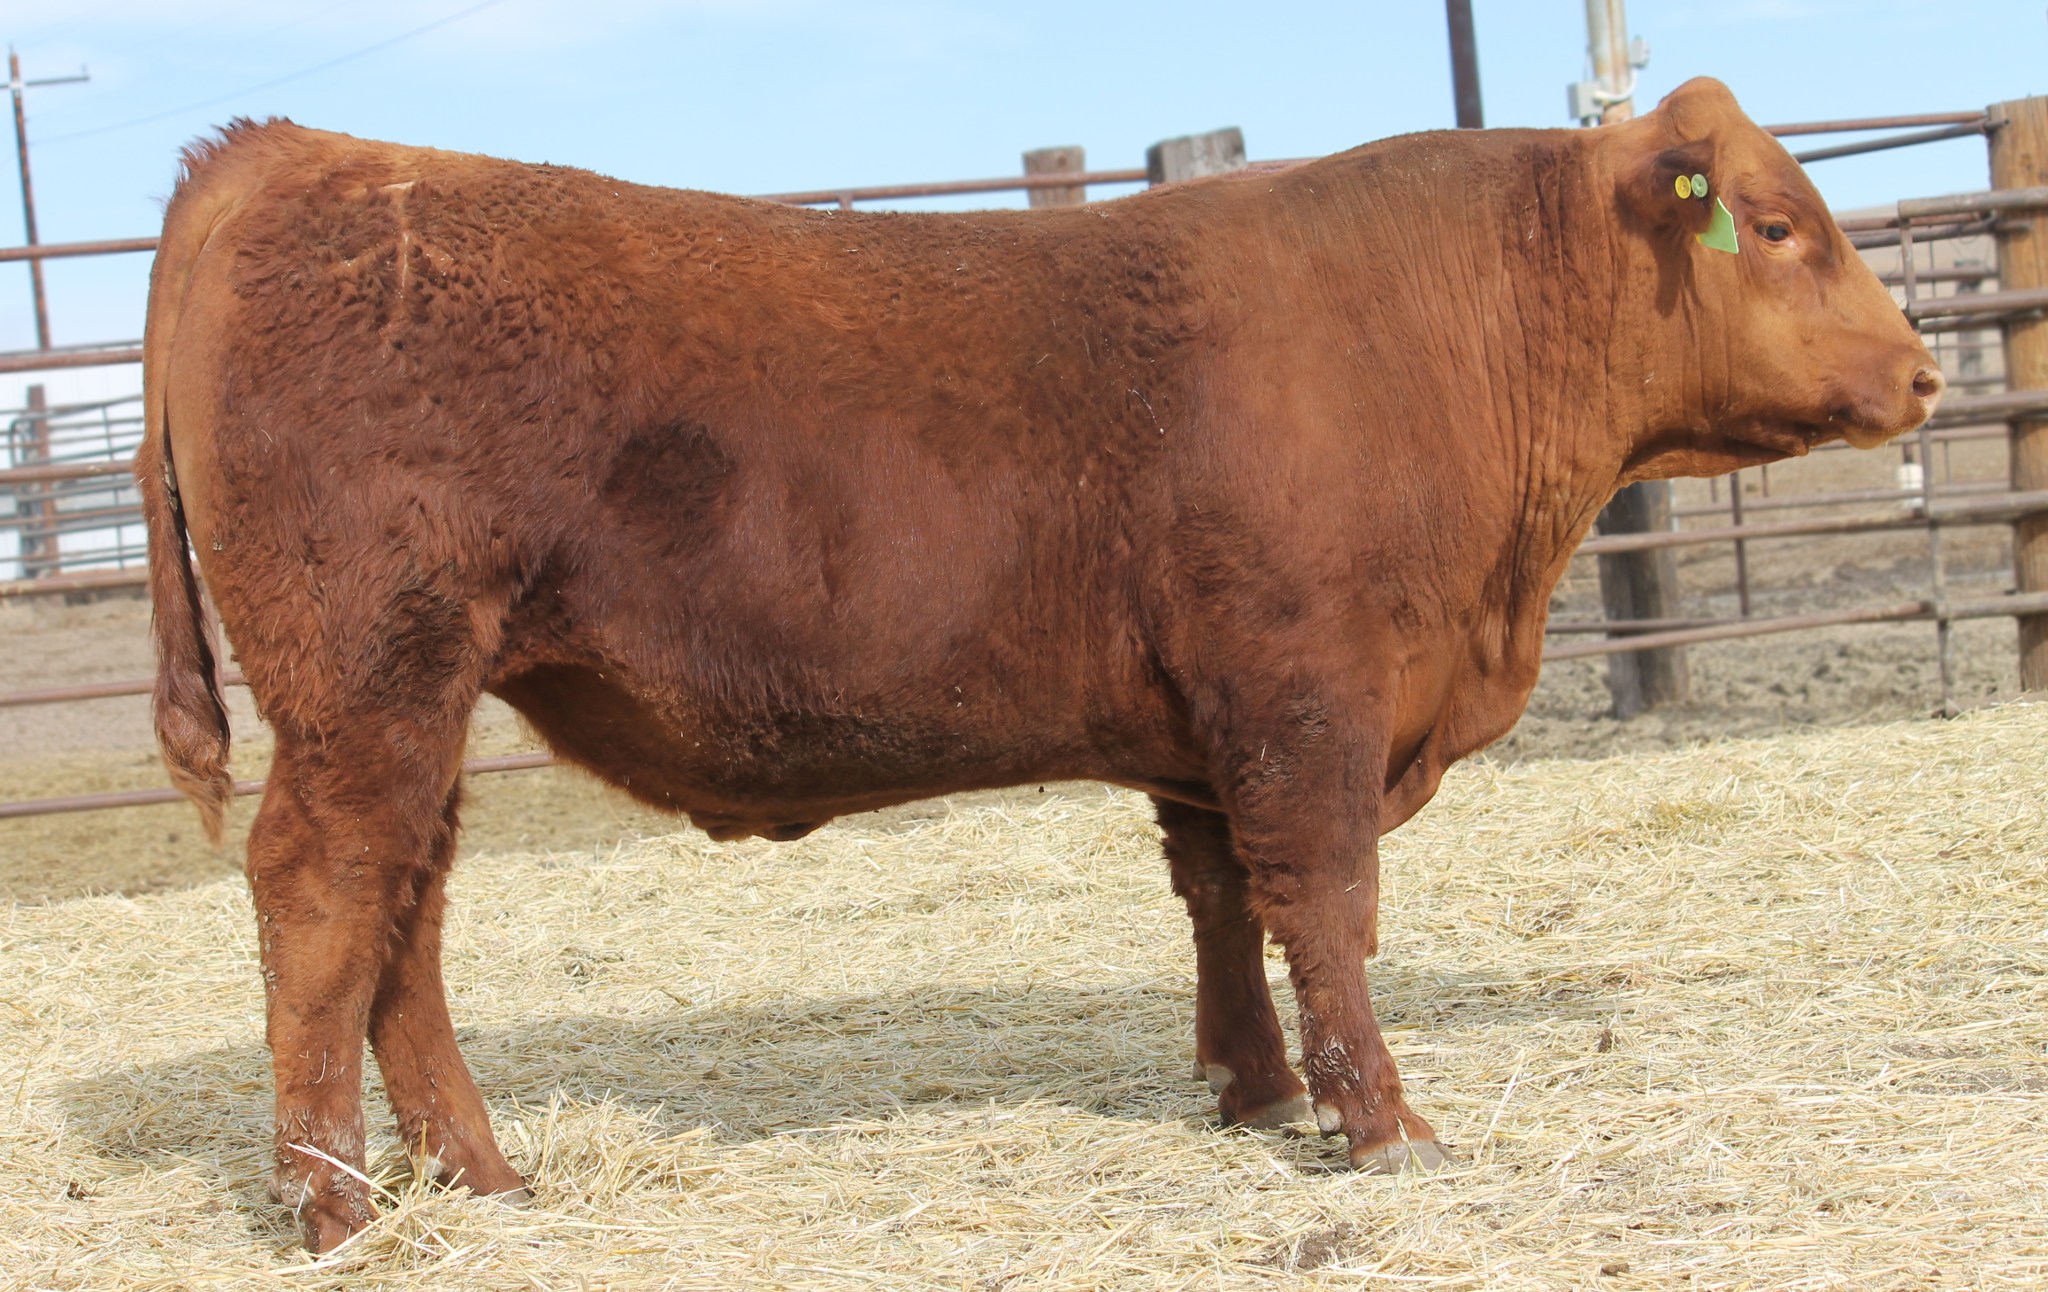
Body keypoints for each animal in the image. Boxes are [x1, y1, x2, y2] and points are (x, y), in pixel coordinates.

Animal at [137, 77, 1941, 1251]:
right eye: (1777, 224)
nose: (1923, 371)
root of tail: (291, 157)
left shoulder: (1208, 730)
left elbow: (1223, 903)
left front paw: (1255, 1094)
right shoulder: (1306, 701)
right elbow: (1326, 907)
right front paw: (1382, 1125)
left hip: (418, 702)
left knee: (405, 918)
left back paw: (485, 1177)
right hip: (368, 681)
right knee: (322, 895)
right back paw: (330, 1204)